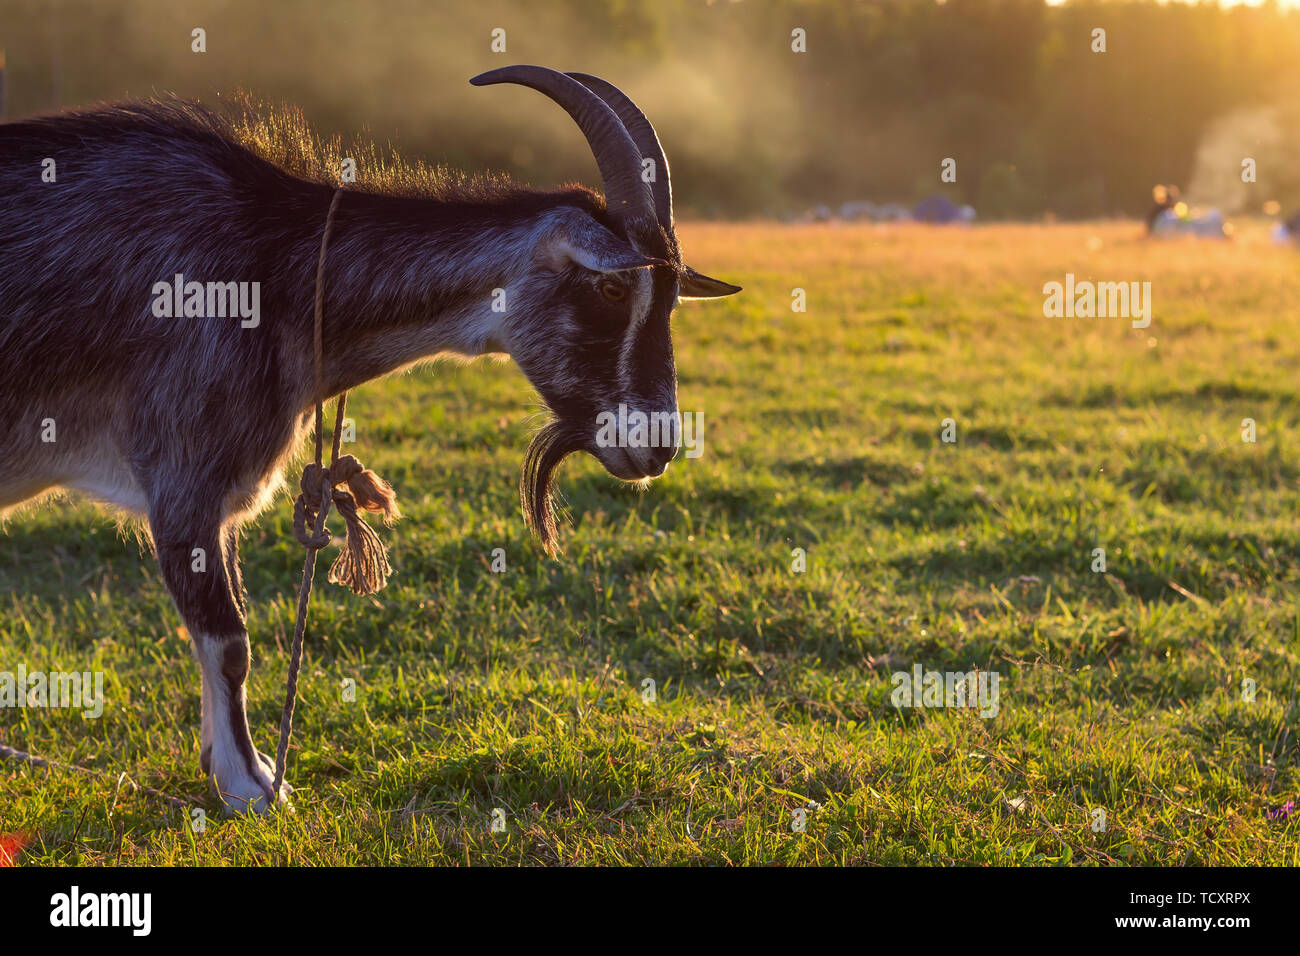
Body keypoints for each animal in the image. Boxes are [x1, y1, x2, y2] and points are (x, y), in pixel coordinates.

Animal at [0, 65, 740, 812]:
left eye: (671, 299)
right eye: (614, 289)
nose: (658, 445)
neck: (272, 265)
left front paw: (229, 765)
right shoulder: (183, 478)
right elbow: (228, 640)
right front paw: (252, 786)